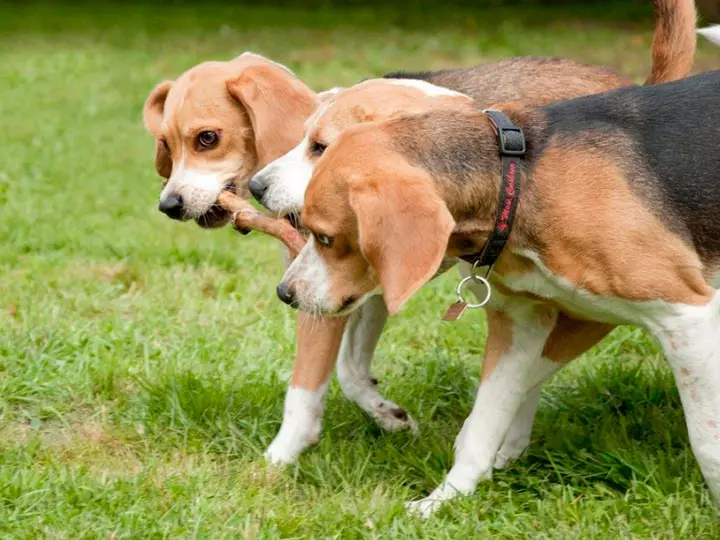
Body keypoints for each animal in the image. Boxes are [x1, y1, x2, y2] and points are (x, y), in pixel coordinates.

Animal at [249, 0, 696, 464]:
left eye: (321, 148)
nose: (256, 188)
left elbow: (311, 383)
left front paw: (277, 460)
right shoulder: (369, 278)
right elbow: (350, 368)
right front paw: (385, 413)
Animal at [278, 69, 720, 516]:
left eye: (325, 237)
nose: (285, 292)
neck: (519, 179)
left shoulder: (687, 317)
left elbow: (707, 440)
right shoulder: (522, 323)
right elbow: (484, 423)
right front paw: (444, 499)